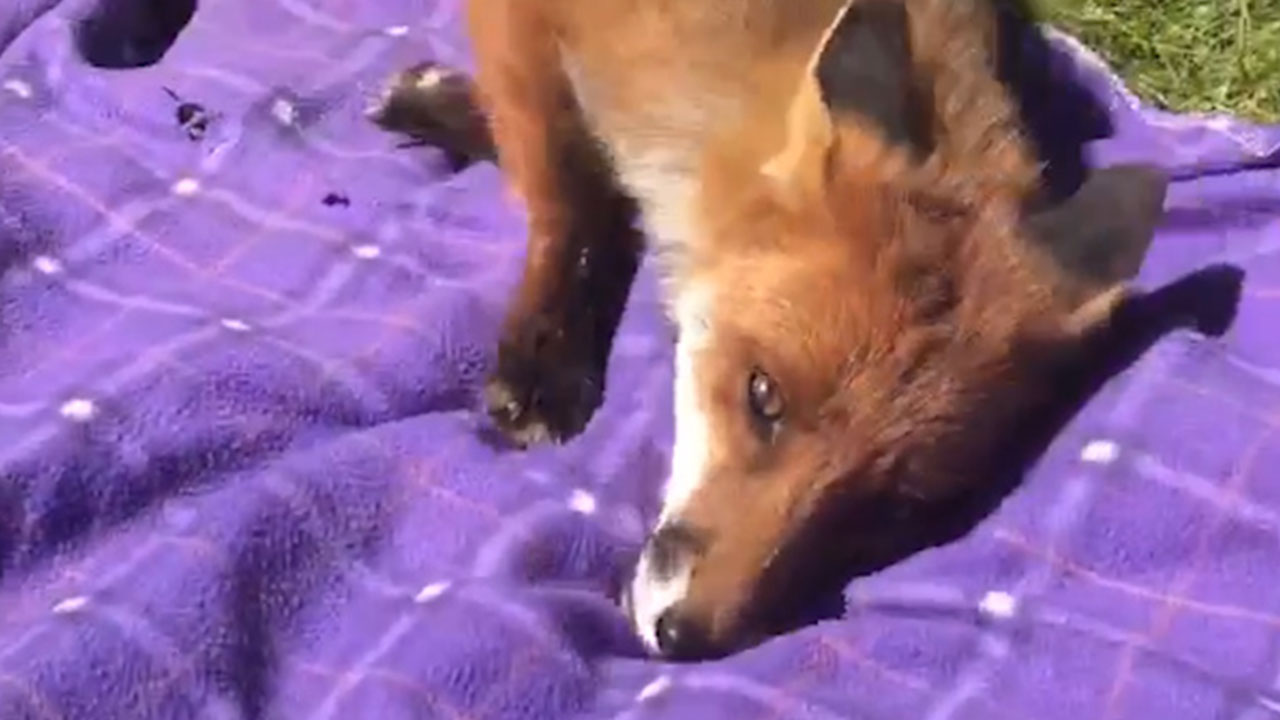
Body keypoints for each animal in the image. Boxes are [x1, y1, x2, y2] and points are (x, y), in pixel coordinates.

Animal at [373, 0, 1193, 660]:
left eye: (892, 508)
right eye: (762, 395)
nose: (687, 639)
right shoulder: (528, 25)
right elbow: (567, 190)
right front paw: (547, 356)